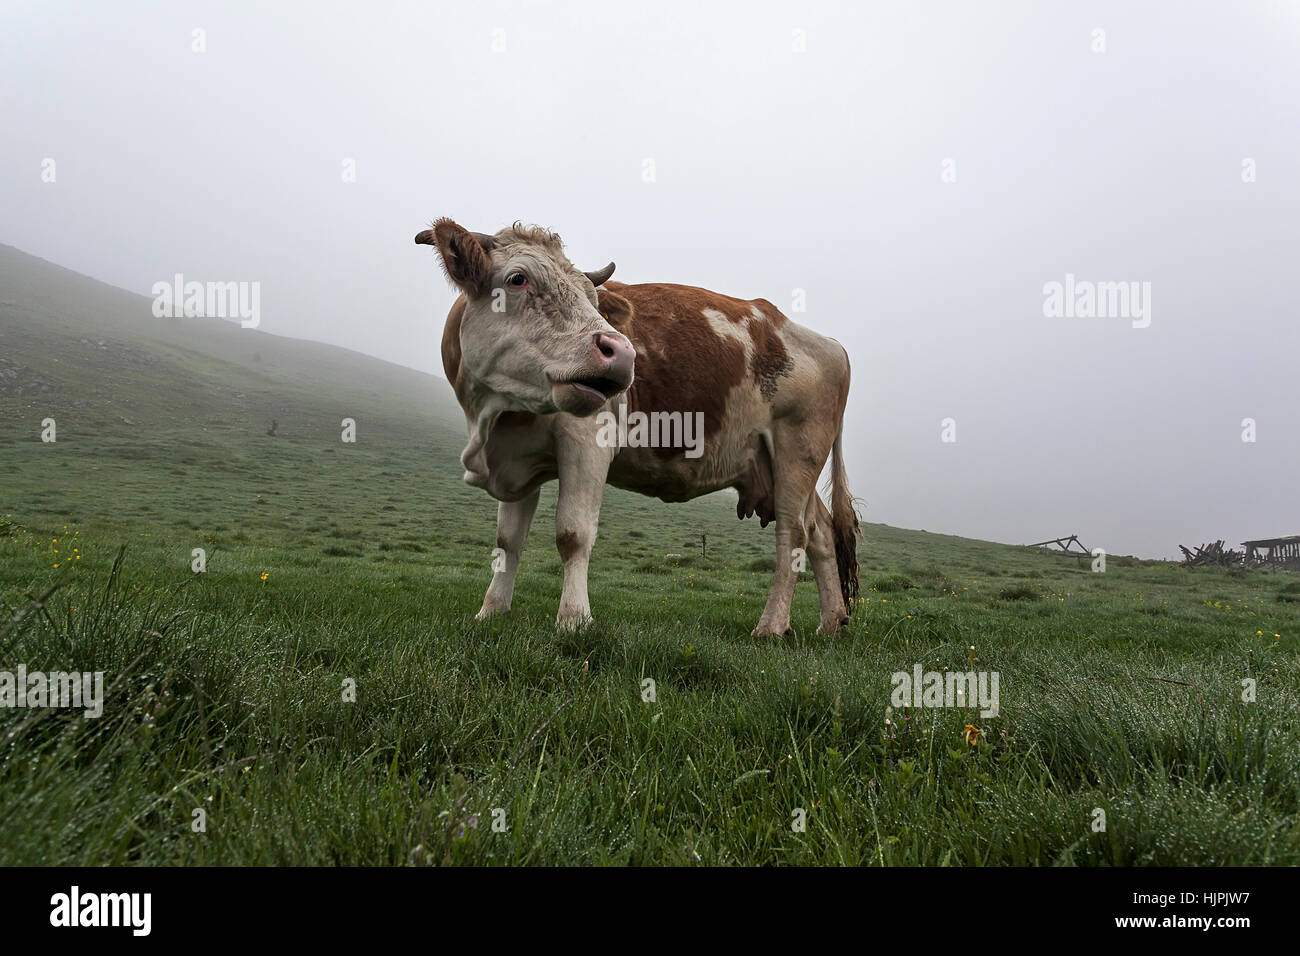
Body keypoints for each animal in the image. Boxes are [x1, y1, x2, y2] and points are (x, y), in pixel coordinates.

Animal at [415, 219, 859, 637]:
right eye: (518, 279)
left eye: (593, 297)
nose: (621, 352)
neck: (496, 420)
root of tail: (830, 343)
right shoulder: (519, 460)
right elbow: (508, 542)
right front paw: (491, 612)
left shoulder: (586, 442)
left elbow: (573, 534)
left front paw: (574, 619)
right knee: (820, 533)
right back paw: (830, 622)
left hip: (797, 454)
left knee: (793, 534)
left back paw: (771, 625)